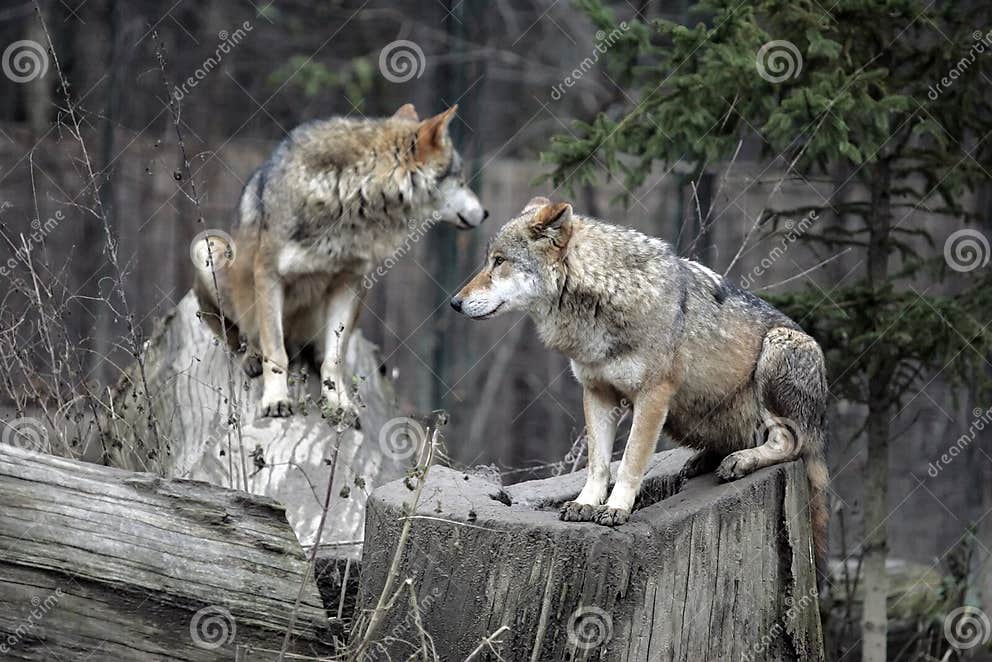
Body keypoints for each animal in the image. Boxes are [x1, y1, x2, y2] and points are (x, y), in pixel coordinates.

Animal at [195, 104, 486, 417]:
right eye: (461, 177)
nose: (486, 213)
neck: (348, 196)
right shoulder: (269, 275)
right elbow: (275, 352)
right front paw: (276, 399)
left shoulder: (349, 282)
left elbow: (335, 359)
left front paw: (338, 402)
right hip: (208, 248)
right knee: (243, 337)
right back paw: (252, 355)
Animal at [450, 198, 829, 567]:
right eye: (489, 260)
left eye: (499, 261)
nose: (454, 302)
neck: (602, 300)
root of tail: (821, 425)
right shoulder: (597, 393)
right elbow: (598, 462)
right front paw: (586, 503)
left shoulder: (653, 396)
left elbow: (631, 459)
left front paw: (616, 508)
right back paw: (705, 461)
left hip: (776, 351)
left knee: (788, 443)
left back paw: (741, 460)